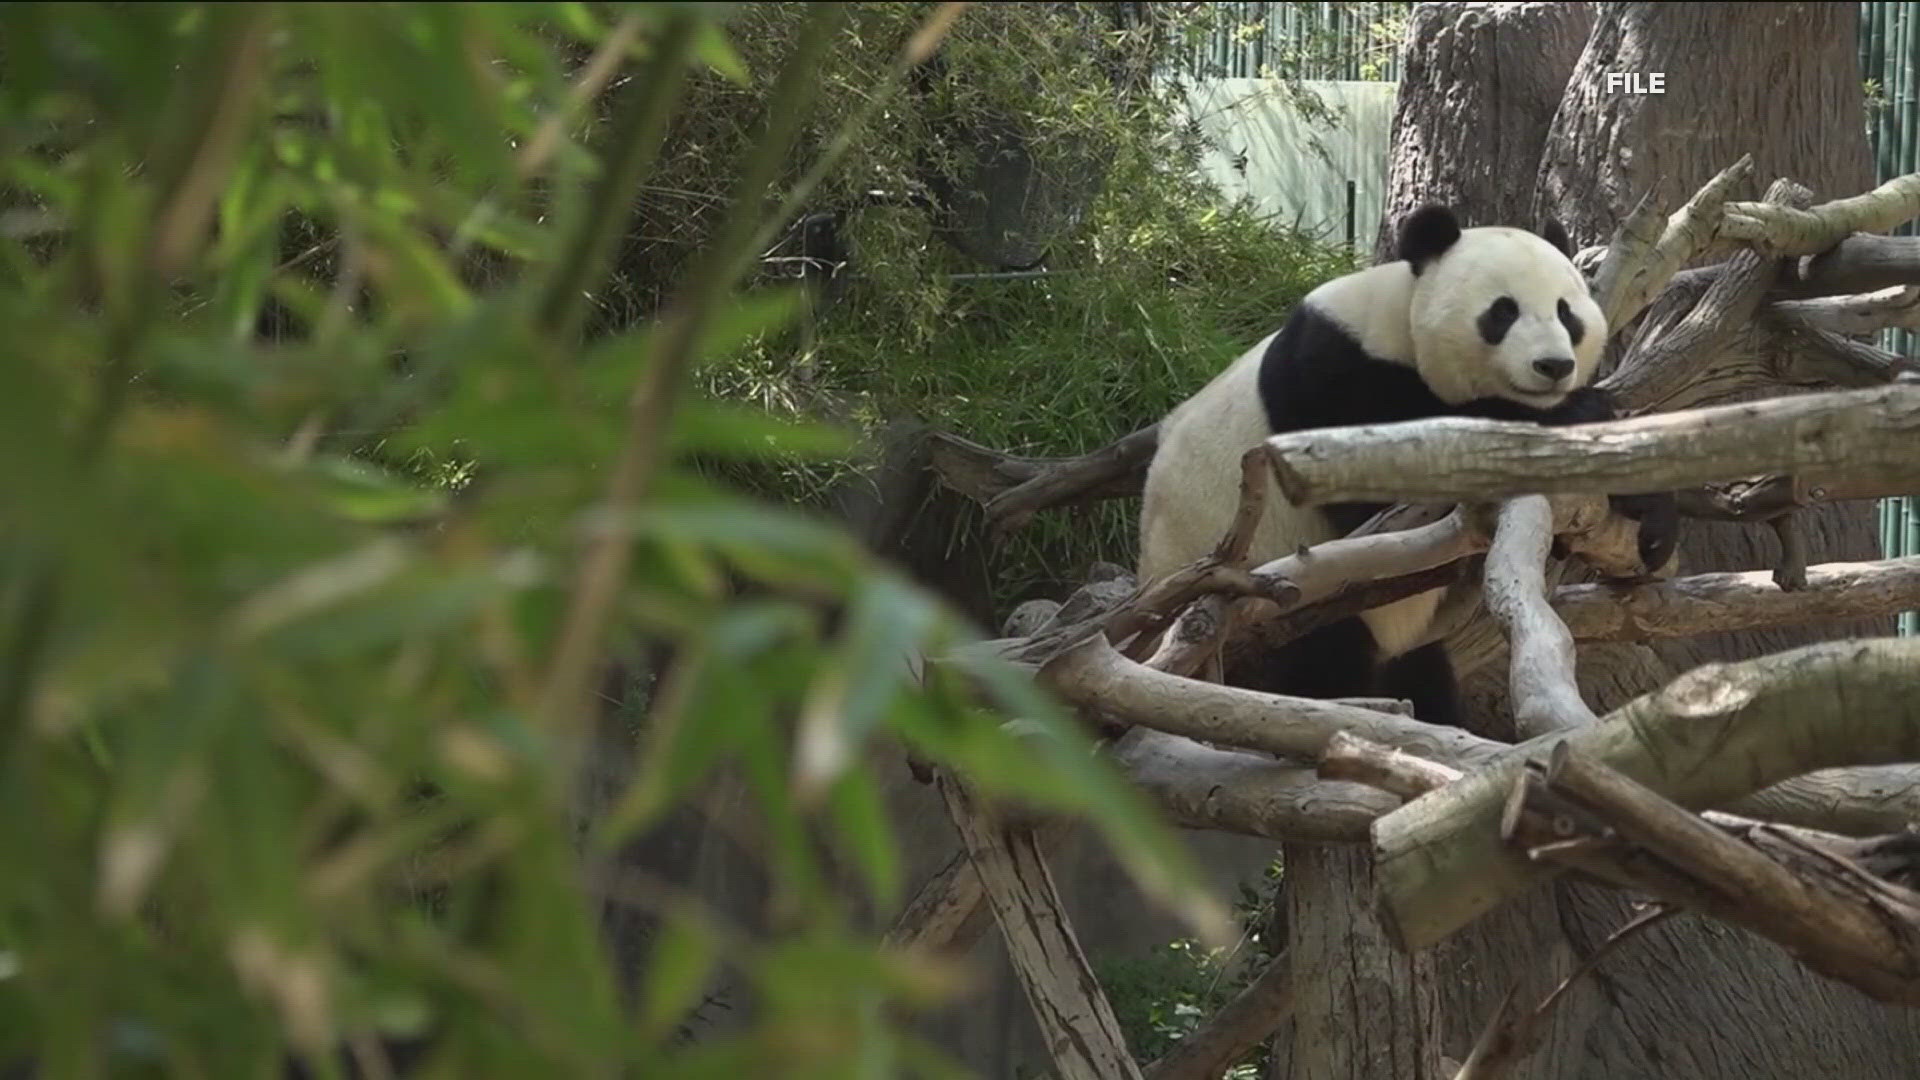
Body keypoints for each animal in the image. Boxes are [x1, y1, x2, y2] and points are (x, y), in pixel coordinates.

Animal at [1136, 204, 1678, 728]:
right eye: (1503, 312)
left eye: (1567, 313)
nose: (1553, 366)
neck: (1402, 330)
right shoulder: (1333, 375)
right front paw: (1583, 413)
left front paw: (1651, 513)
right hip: (1272, 598)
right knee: (1319, 661)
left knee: (1423, 676)